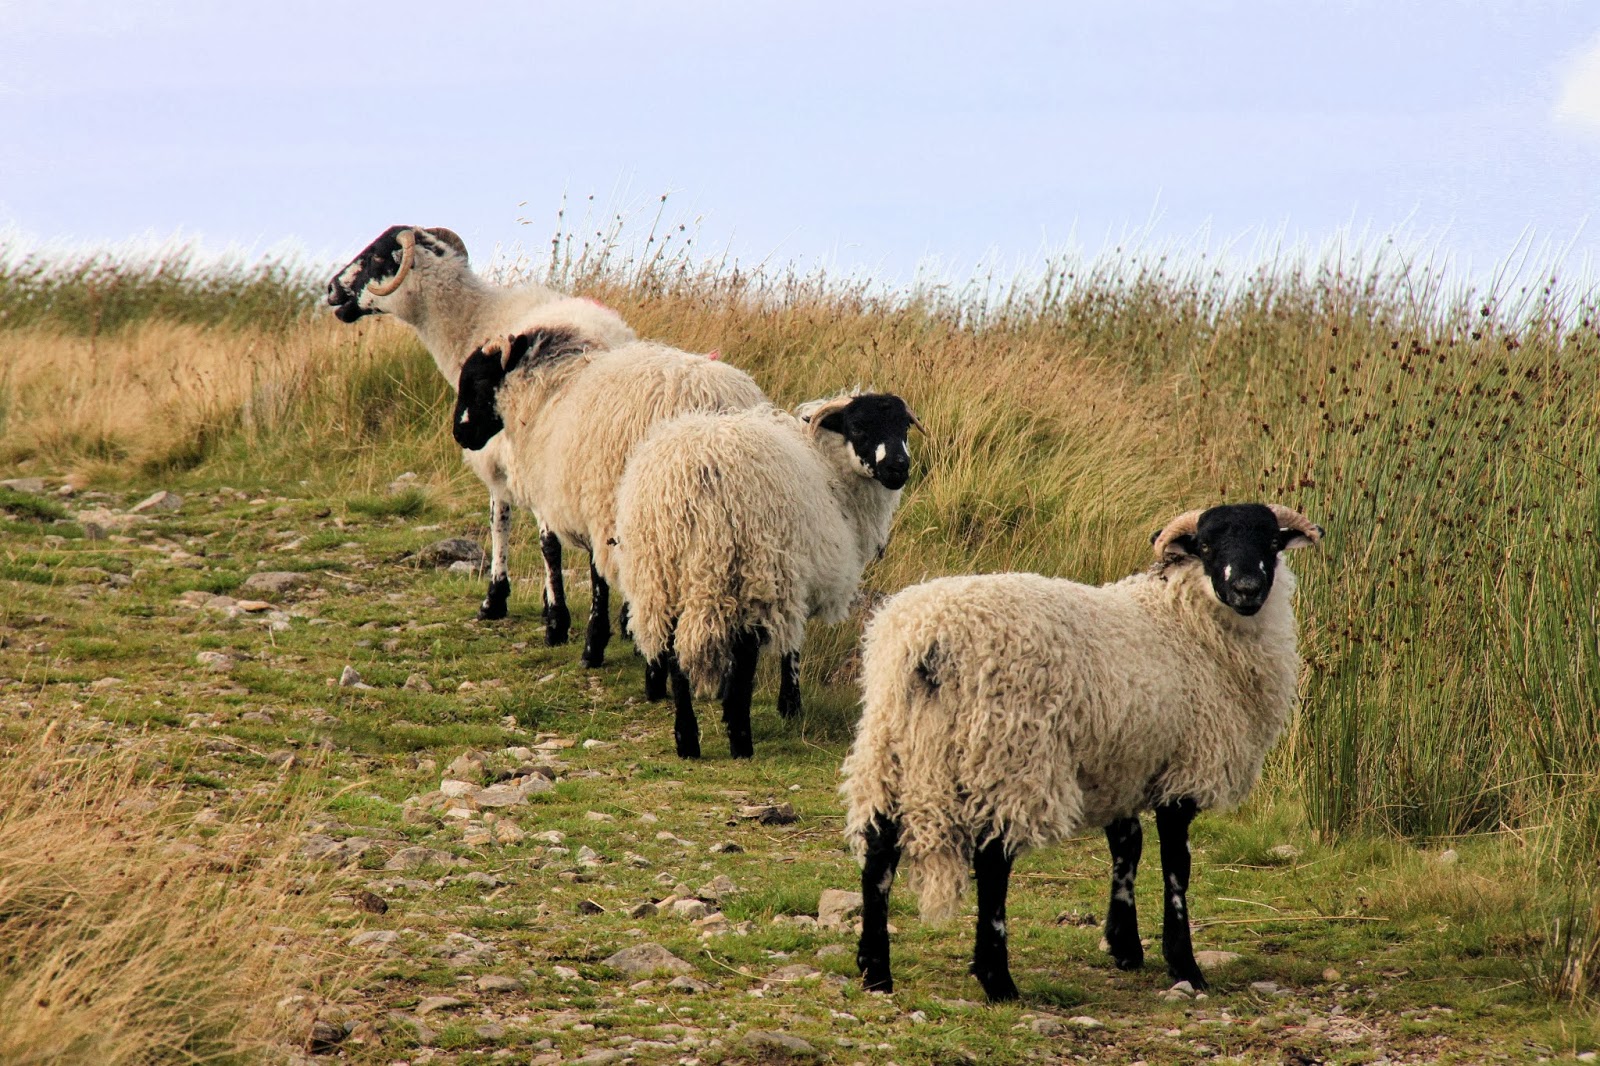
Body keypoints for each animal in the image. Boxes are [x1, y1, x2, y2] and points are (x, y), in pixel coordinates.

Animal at [326, 225, 637, 643]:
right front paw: (535, 602)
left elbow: (502, 523)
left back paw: (564, 623)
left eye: (377, 256)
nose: (331, 290)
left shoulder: (500, 458)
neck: (473, 320)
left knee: (553, 541)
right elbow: (502, 519)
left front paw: (499, 601)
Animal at [454, 332, 769, 672]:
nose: (459, 433)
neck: (545, 394)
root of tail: (712, 399)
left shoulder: (588, 500)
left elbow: (569, 561)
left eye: (479, 379)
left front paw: (578, 636)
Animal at [614, 393, 921, 759]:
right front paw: (790, 705)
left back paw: (686, 738)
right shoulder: (792, 575)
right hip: (749, 568)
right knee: (744, 650)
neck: (830, 468)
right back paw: (740, 739)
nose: (899, 468)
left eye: (904, 426)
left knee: (676, 654)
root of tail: (694, 474)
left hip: (662, 573)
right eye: (859, 426)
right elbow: (792, 647)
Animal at [840, 502, 1324, 1002]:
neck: (1185, 620)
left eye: (1271, 542)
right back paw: (997, 979)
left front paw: (1125, 946)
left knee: (878, 851)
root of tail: (928, 638)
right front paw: (1184, 965)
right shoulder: (1185, 767)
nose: (1246, 589)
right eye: (1207, 546)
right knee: (992, 863)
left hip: (890, 744)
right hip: (1008, 750)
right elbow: (1176, 867)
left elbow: (1127, 847)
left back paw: (876, 971)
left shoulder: (1123, 762)